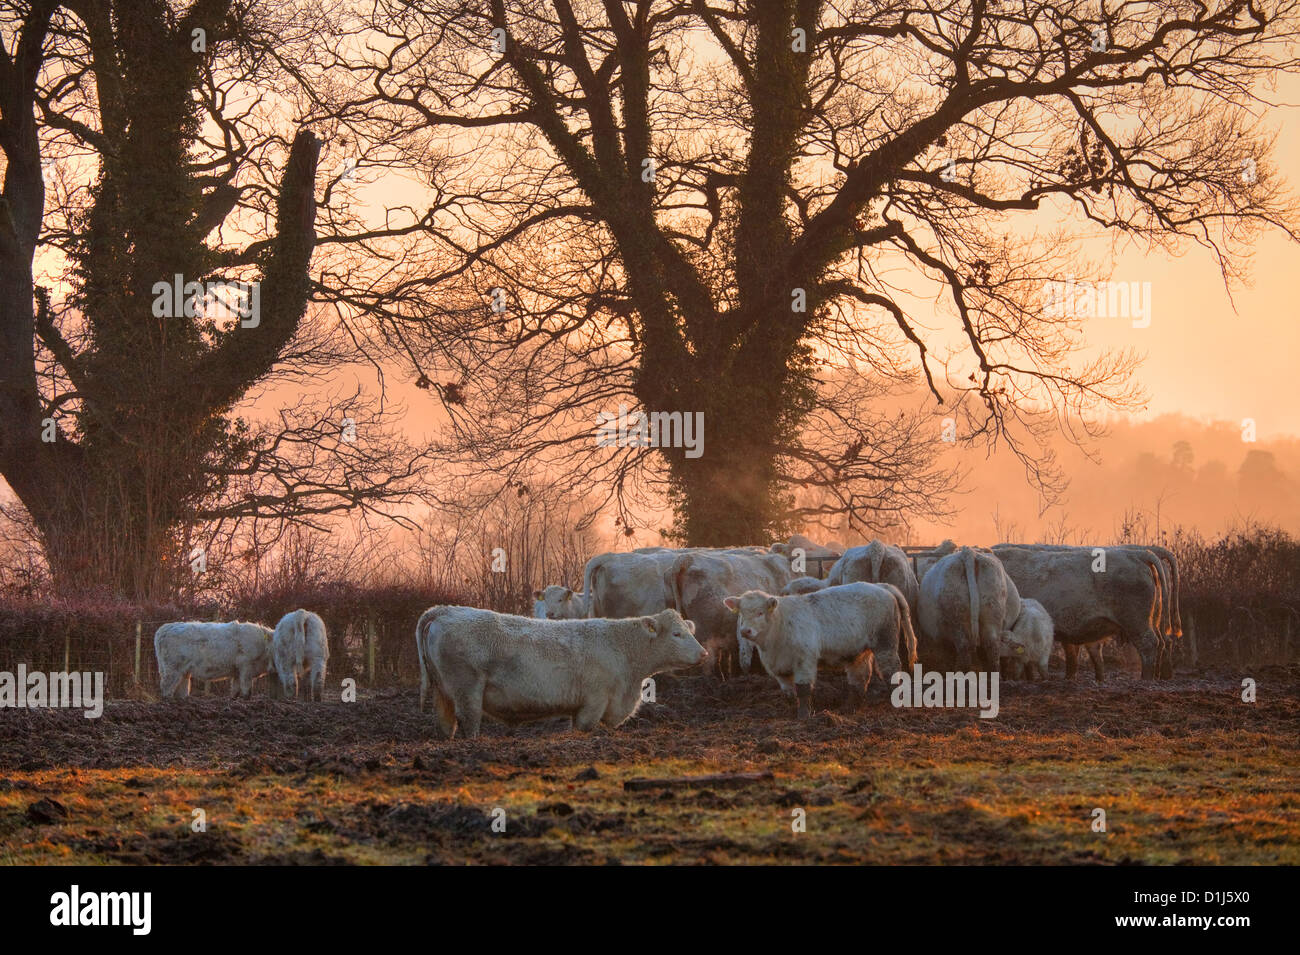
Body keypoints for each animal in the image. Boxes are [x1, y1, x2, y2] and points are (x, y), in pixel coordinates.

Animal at [415, 606, 705, 738]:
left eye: (689, 631)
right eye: (677, 634)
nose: (703, 653)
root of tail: (446, 610)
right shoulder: (594, 700)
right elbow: (584, 729)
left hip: (443, 692)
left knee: (445, 724)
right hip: (467, 690)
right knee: (469, 721)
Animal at [723, 582, 918, 718]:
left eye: (760, 613)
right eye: (741, 613)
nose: (745, 631)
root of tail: (880, 586)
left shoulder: (804, 660)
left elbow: (803, 689)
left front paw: (804, 716)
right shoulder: (778, 668)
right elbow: (788, 692)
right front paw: (791, 709)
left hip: (885, 644)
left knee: (891, 670)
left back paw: (895, 700)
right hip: (859, 652)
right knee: (860, 677)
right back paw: (851, 707)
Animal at [992, 542, 1181, 676]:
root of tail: (1139, 554)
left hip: (1136, 619)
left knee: (1149, 643)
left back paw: (1146, 679)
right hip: (1151, 618)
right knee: (1163, 641)